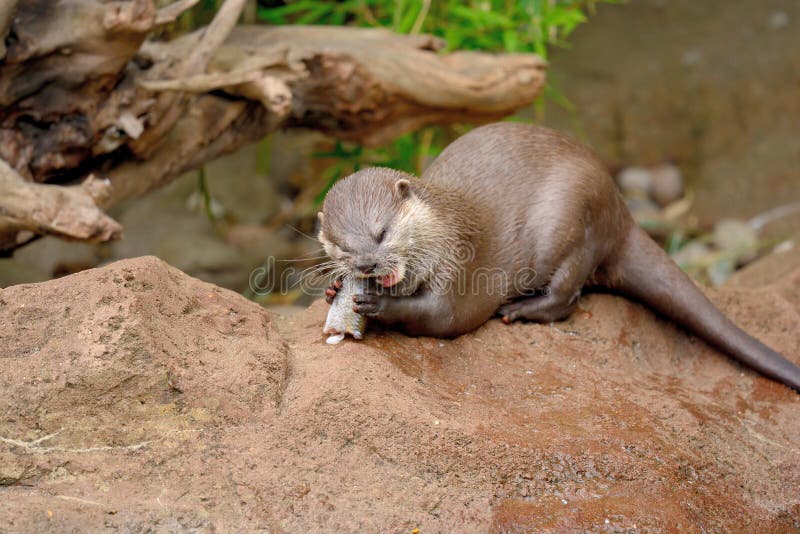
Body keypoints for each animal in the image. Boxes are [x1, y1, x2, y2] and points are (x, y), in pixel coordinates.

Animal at [317, 122, 800, 391]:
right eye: (341, 245)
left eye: (381, 232)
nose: (365, 266)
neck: (443, 225)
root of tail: (620, 210)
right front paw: (335, 287)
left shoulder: (459, 265)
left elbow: (442, 315)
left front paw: (376, 302)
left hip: (572, 221)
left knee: (569, 295)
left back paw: (521, 309)